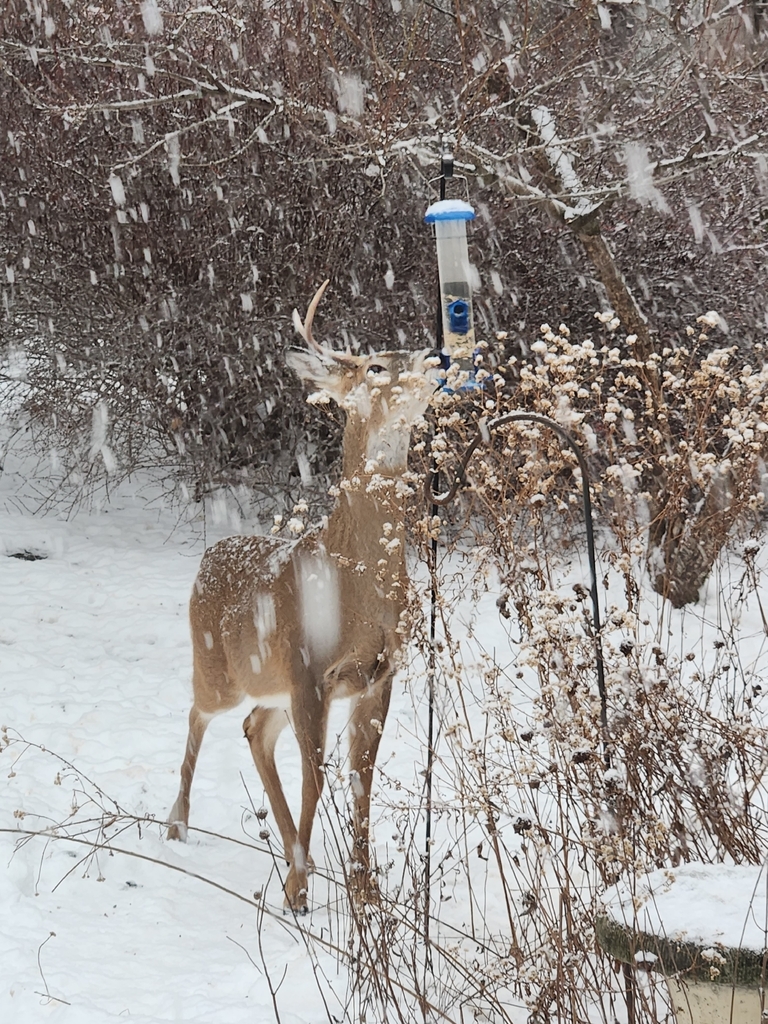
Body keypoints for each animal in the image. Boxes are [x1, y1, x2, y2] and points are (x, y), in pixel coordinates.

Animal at [167, 280, 436, 912]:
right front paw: (296, 893)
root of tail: (208, 557)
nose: (438, 358)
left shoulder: (377, 675)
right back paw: (178, 825)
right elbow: (316, 774)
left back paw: (296, 854)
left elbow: (360, 775)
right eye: (376, 365)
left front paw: (364, 889)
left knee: (253, 729)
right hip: (221, 667)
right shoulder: (310, 669)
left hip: (272, 684)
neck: (357, 585)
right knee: (197, 712)